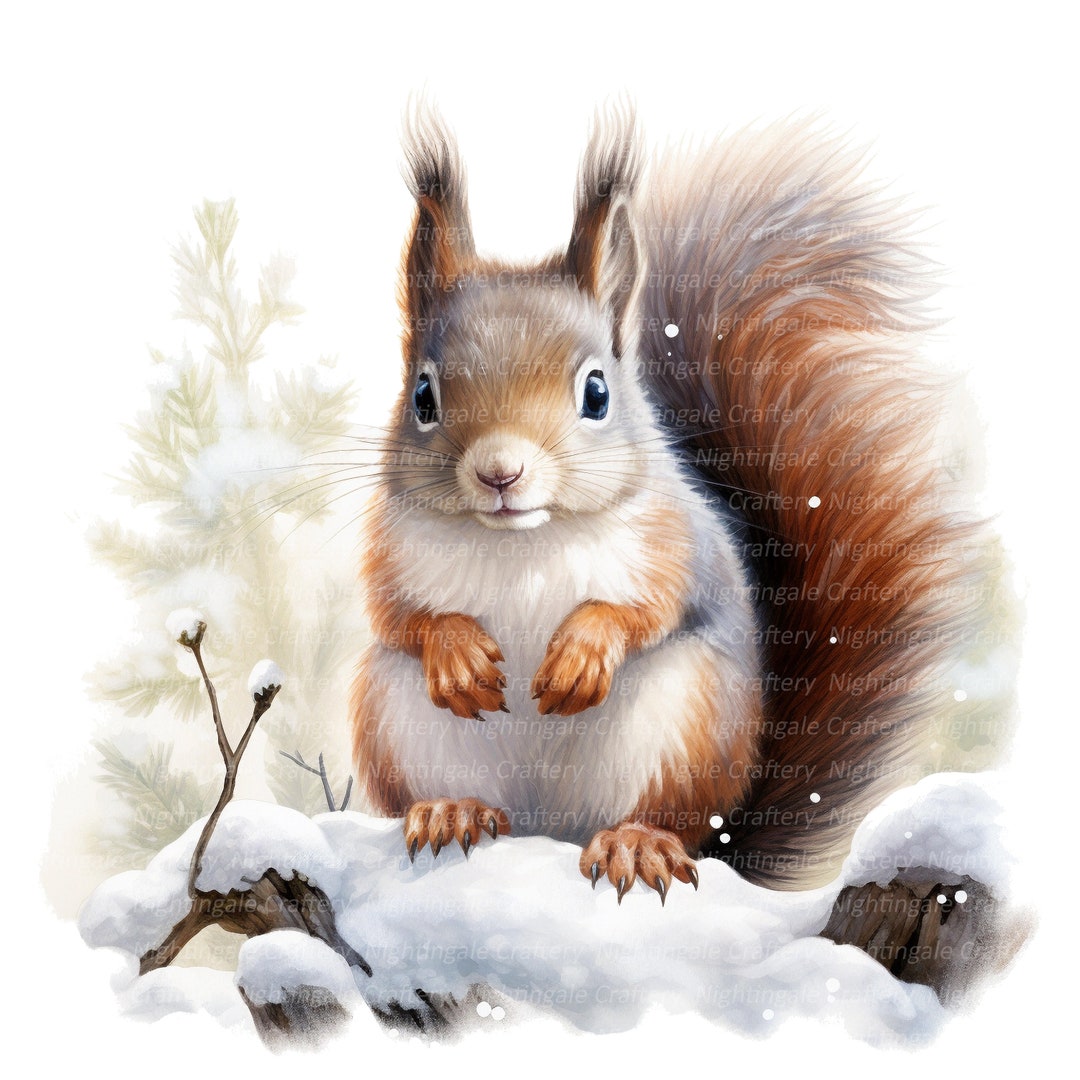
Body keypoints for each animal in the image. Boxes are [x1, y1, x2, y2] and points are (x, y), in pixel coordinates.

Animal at [350, 104, 992, 902]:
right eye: (423, 397)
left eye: (597, 393)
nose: (500, 472)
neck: (523, 542)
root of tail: (543, 830)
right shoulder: (390, 551)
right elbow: (397, 616)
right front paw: (456, 651)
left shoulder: (679, 547)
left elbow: (648, 609)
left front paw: (583, 651)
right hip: (394, 715)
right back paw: (450, 810)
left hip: (687, 722)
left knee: (668, 817)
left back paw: (637, 842)